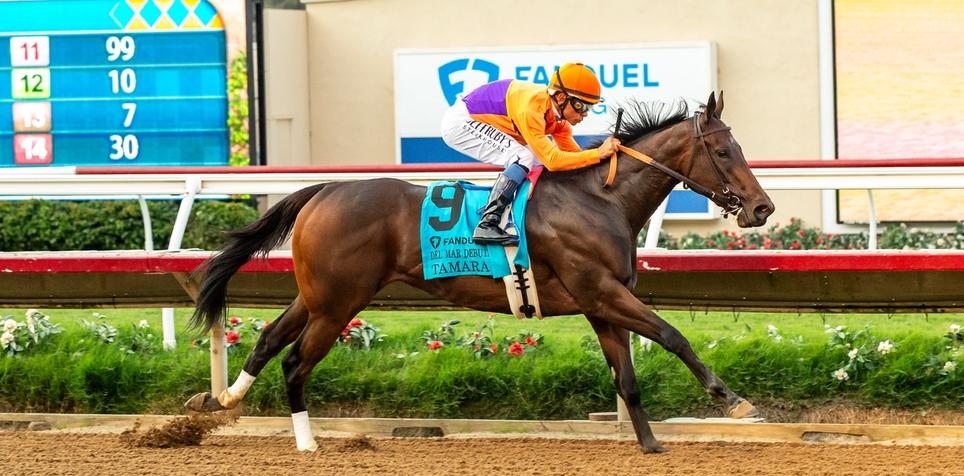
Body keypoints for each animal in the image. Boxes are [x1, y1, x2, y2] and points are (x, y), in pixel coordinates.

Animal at [185, 92, 775, 453]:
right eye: (725, 151)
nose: (763, 208)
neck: (600, 197)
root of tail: (324, 189)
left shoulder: (600, 305)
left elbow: (626, 378)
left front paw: (650, 443)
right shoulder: (603, 293)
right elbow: (674, 337)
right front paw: (735, 401)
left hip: (319, 295)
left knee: (268, 339)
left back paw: (221, 402)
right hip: (338, 304)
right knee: (294, 362)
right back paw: (306, 442)